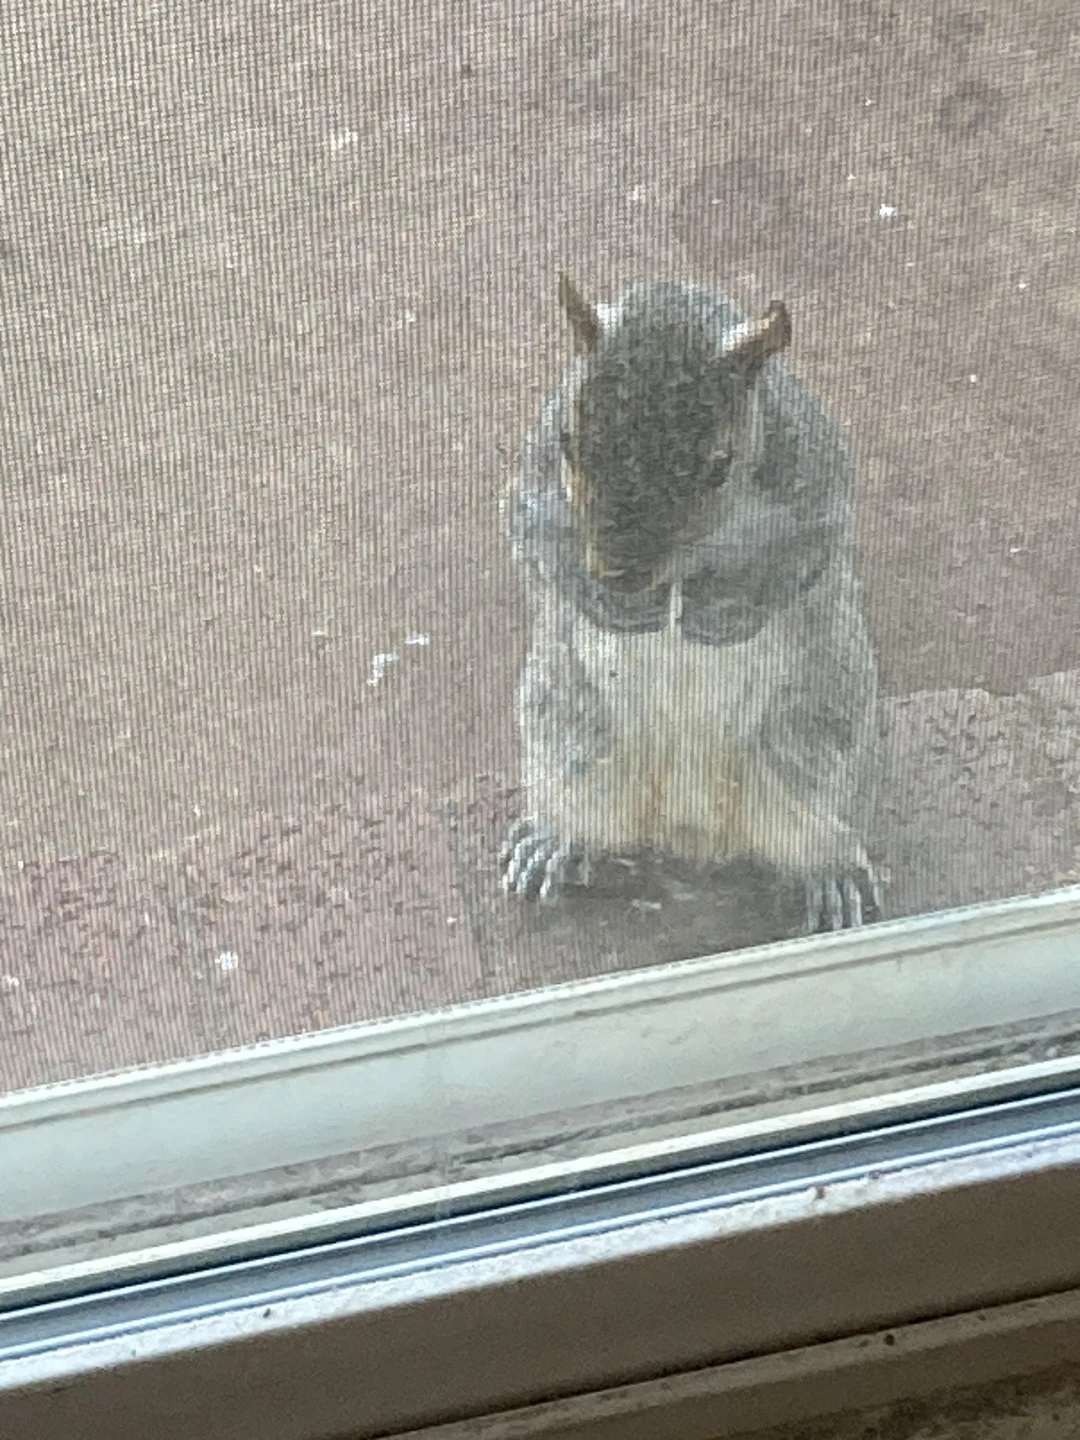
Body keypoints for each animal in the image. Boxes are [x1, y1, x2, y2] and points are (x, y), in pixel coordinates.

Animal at [499, 274, 883, 933]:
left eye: (718, 467)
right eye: (569, 442)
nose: (620, 574)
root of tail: (688, 823)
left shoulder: (815, 485)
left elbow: (799, 560)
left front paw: (722, 613)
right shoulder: (535, 484)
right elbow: (541, 542)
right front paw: (607, 603)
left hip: (816, 742)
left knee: (810, 817)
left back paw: (829, 870)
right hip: (567, 732)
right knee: (582, 803)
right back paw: (555, 839)